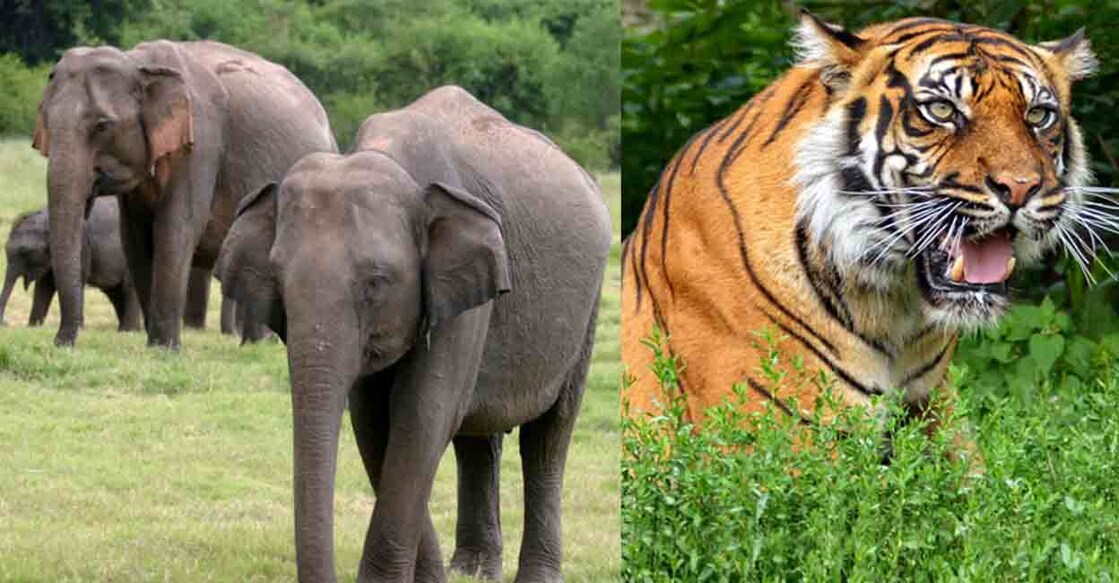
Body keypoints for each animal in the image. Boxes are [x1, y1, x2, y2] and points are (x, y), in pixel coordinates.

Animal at [33, 39, 336, 348]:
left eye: (103, 125)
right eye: (45, 119)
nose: (62, 343)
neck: (138, 62)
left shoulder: (201, 142)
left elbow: (176, 226)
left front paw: (164, 349)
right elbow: (135, 236)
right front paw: (155, 345)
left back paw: (260, 345)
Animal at [216, 86, 611, 582]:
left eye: (376, 282)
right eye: (277, 280)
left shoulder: (465, 292)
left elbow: (421, 414)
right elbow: (374, 422)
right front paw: (431, 578)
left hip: (587, 307)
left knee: (548, 435)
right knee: (479, 439)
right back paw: (473, 570)